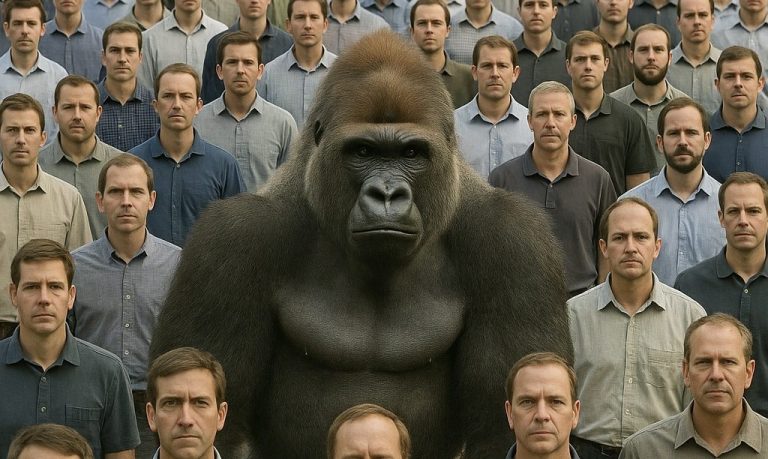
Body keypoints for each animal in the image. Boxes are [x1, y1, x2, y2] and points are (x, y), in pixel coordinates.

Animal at [150, 30, 573, 459]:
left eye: (411, 153)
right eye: (364, 151)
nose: (386, 194)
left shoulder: (514, 242)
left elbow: (499, 427)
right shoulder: (231, 242)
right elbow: (224, 418)